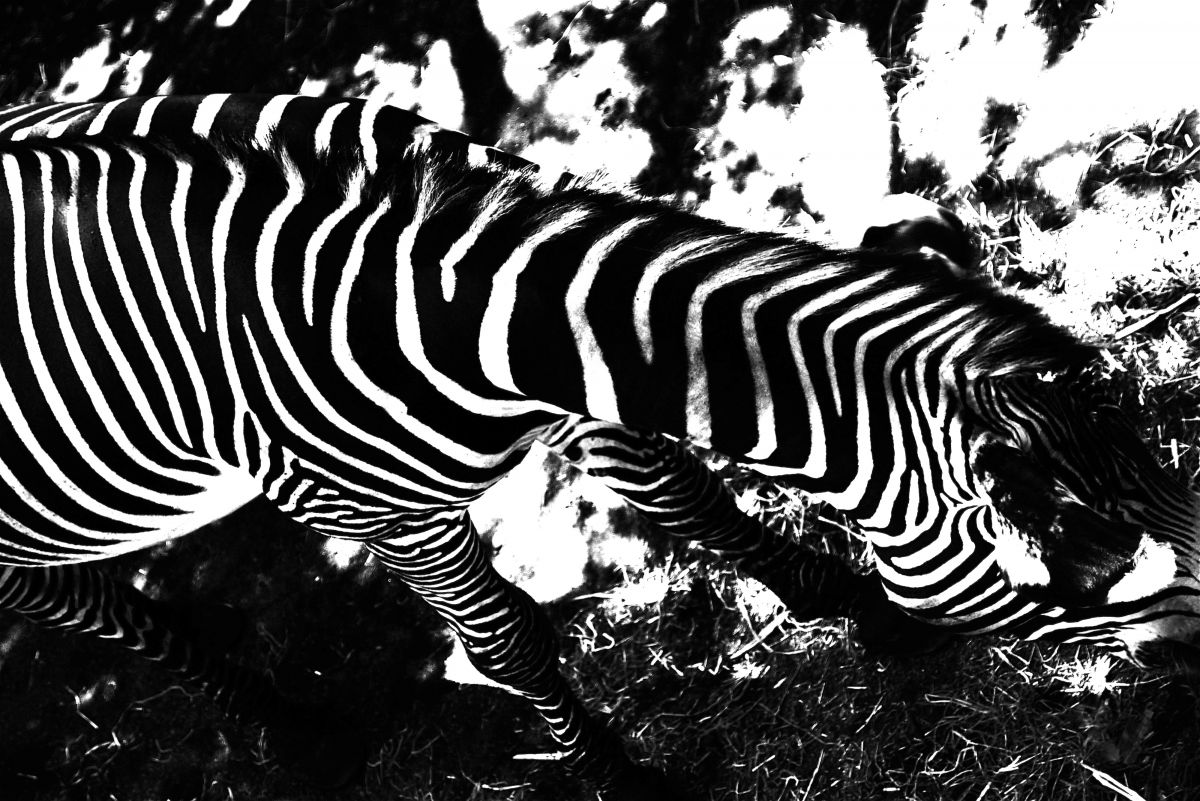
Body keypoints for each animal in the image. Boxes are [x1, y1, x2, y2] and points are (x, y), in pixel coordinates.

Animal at [0, 93, 1198, 798]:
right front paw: (616, 781)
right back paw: (293, 729)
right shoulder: (367, 508)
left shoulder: (593, 386)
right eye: (1085, 563)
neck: (447, 313)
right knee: (95, 608)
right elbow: (509, 646)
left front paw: (859, 612)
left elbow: (685, 498)